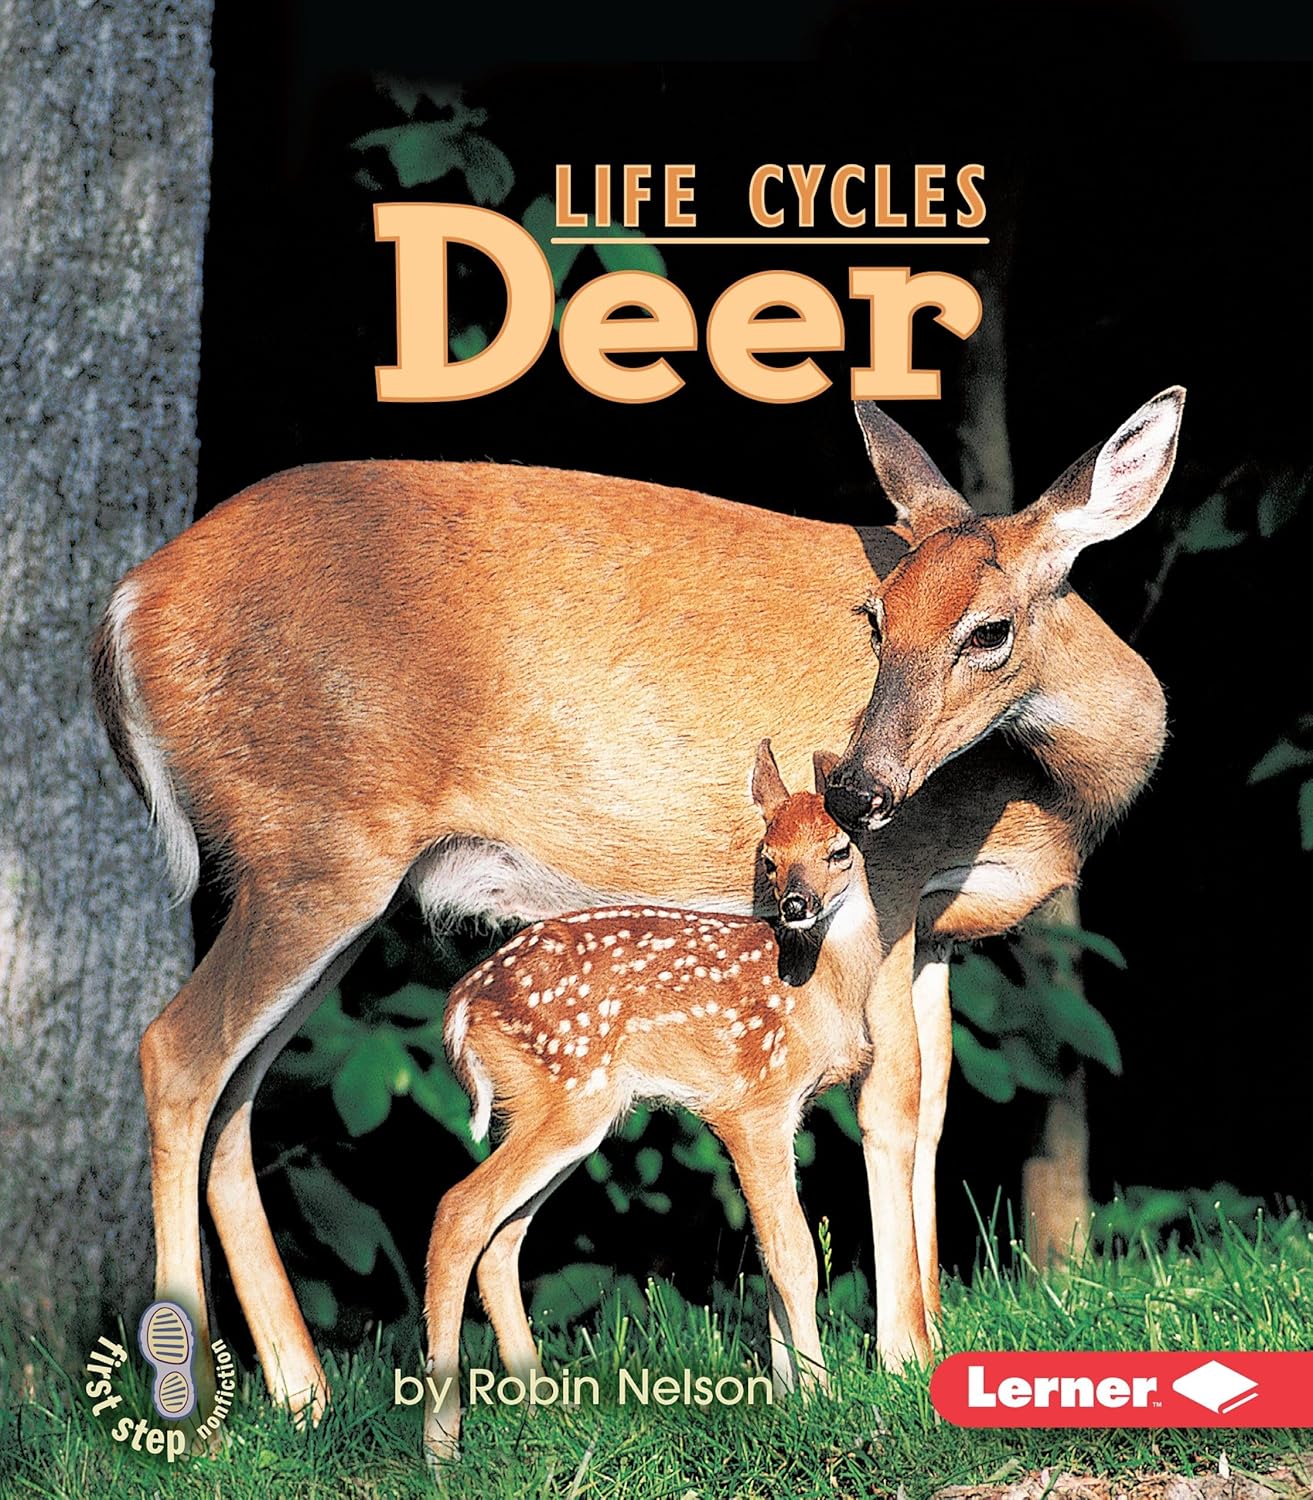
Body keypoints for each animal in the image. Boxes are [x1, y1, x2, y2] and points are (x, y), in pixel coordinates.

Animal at [91, 387, 1182, 1426]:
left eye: (988, 630)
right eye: (874, 619)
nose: (857, 787)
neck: (1050, 796)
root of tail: (126, 609)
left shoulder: (936, 935)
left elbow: (936, 1101)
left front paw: (906, 1343)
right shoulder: (896, 883)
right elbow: (892, 1101)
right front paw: (898, 1356)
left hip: (322, 885)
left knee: (238, 1090)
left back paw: (301, 1395)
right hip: (314, 851)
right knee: (175, 1052)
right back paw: (199, 1421)